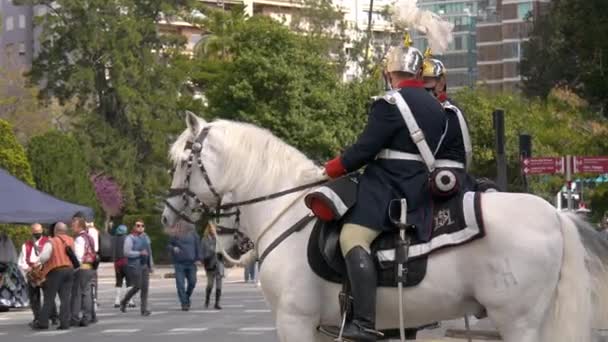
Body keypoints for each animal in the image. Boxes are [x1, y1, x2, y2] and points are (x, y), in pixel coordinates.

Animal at [163, 113, 608, 342]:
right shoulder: (321, 328)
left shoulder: (295, 321)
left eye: (184, 162)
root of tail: (554, 215)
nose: (167, 217)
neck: (287, 212)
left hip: (518, 321)